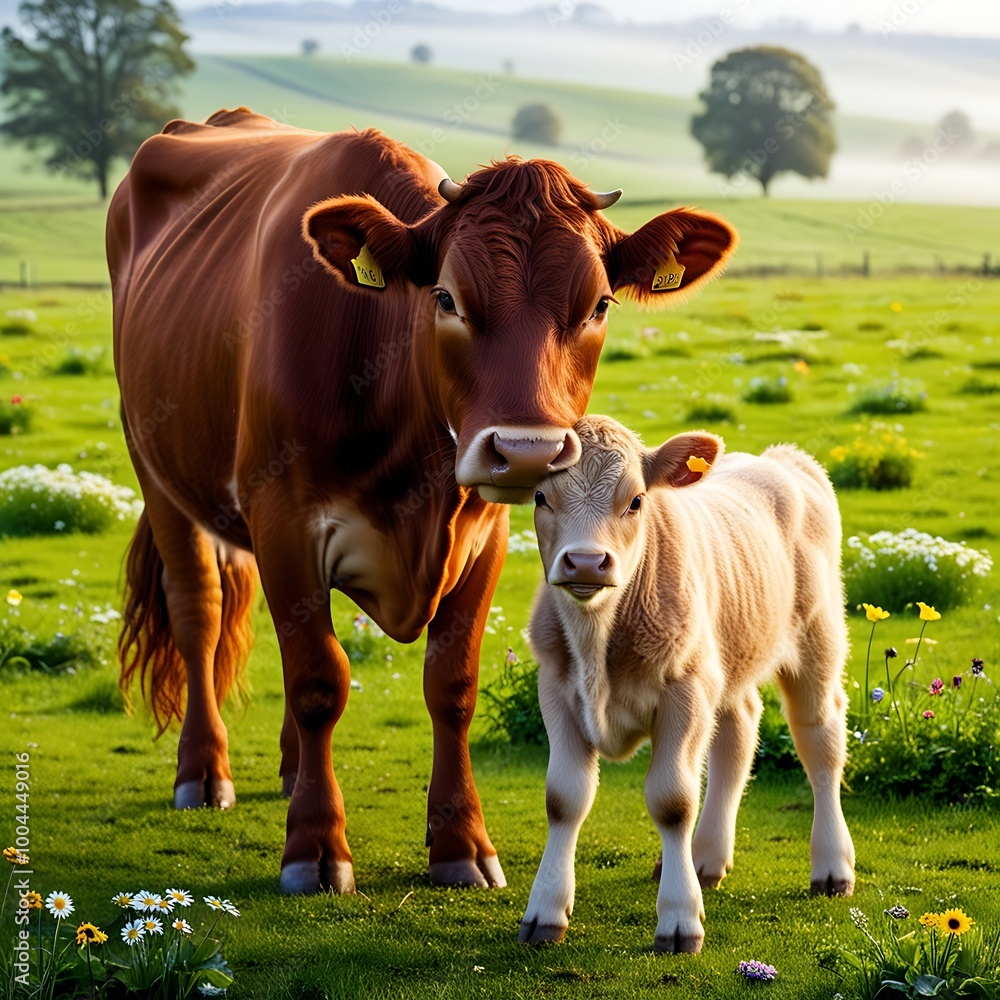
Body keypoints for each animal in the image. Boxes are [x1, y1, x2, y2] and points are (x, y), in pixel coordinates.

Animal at [108, 107, 737, 896]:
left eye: (598, 304)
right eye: (445, 298)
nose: (526, 450)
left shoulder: (485, 531)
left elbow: (452, 685)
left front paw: (461, 844)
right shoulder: (283, 518)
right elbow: (318, 679)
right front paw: (315, 849)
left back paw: (289, 769)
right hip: (156, 470)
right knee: (200, 612)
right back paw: (202, 773)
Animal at [521, 416, 855, 953]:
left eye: (636, 500)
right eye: (540, 496)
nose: (587, 562)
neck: (598, 636)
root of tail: (781, 459)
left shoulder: (685, 692)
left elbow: (672, 801)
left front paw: (680, 919)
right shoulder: (555, 690)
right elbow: (564, 798)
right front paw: (545, 911)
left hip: (817, 642)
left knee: (820, 743)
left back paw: (832, 867)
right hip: (727, 658)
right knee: (738, 734)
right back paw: (706, 858)